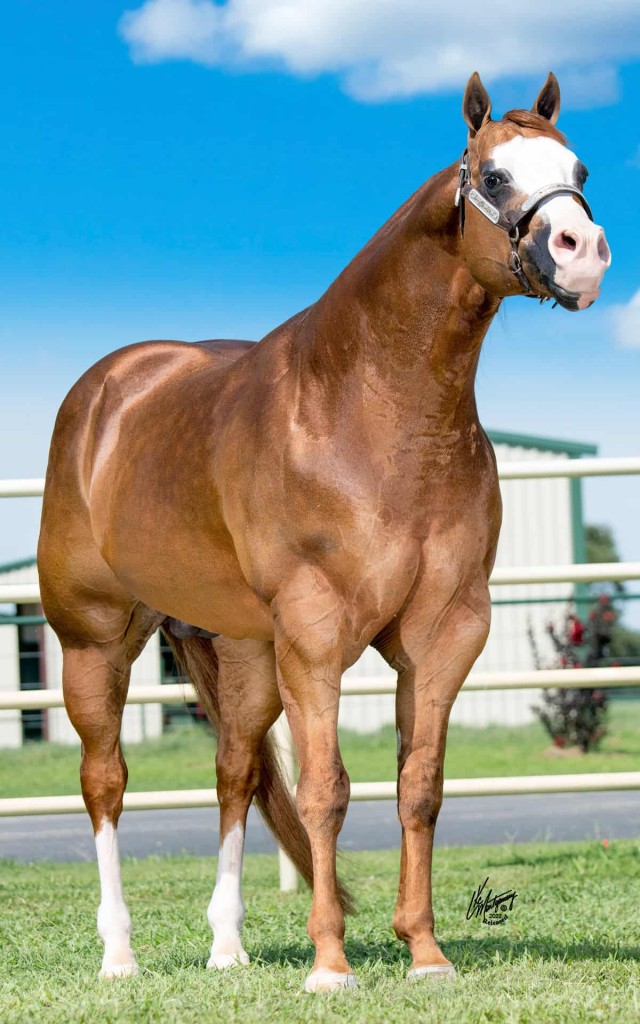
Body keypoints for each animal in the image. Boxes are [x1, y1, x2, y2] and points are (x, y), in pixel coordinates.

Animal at [37, 71, 610, 992]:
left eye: (579, 169)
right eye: (492, 176)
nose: (583, 248)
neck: (369, 411)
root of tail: (107, 392)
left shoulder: (445, 632)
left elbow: (419, 786)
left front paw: (425, 953)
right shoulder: (314, 635)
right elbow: (326, 791)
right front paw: (330, 965)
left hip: (241, 654)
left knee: (235, 774)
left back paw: (227, 949)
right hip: (96, 641)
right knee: (105, 781)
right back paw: (119, 956)